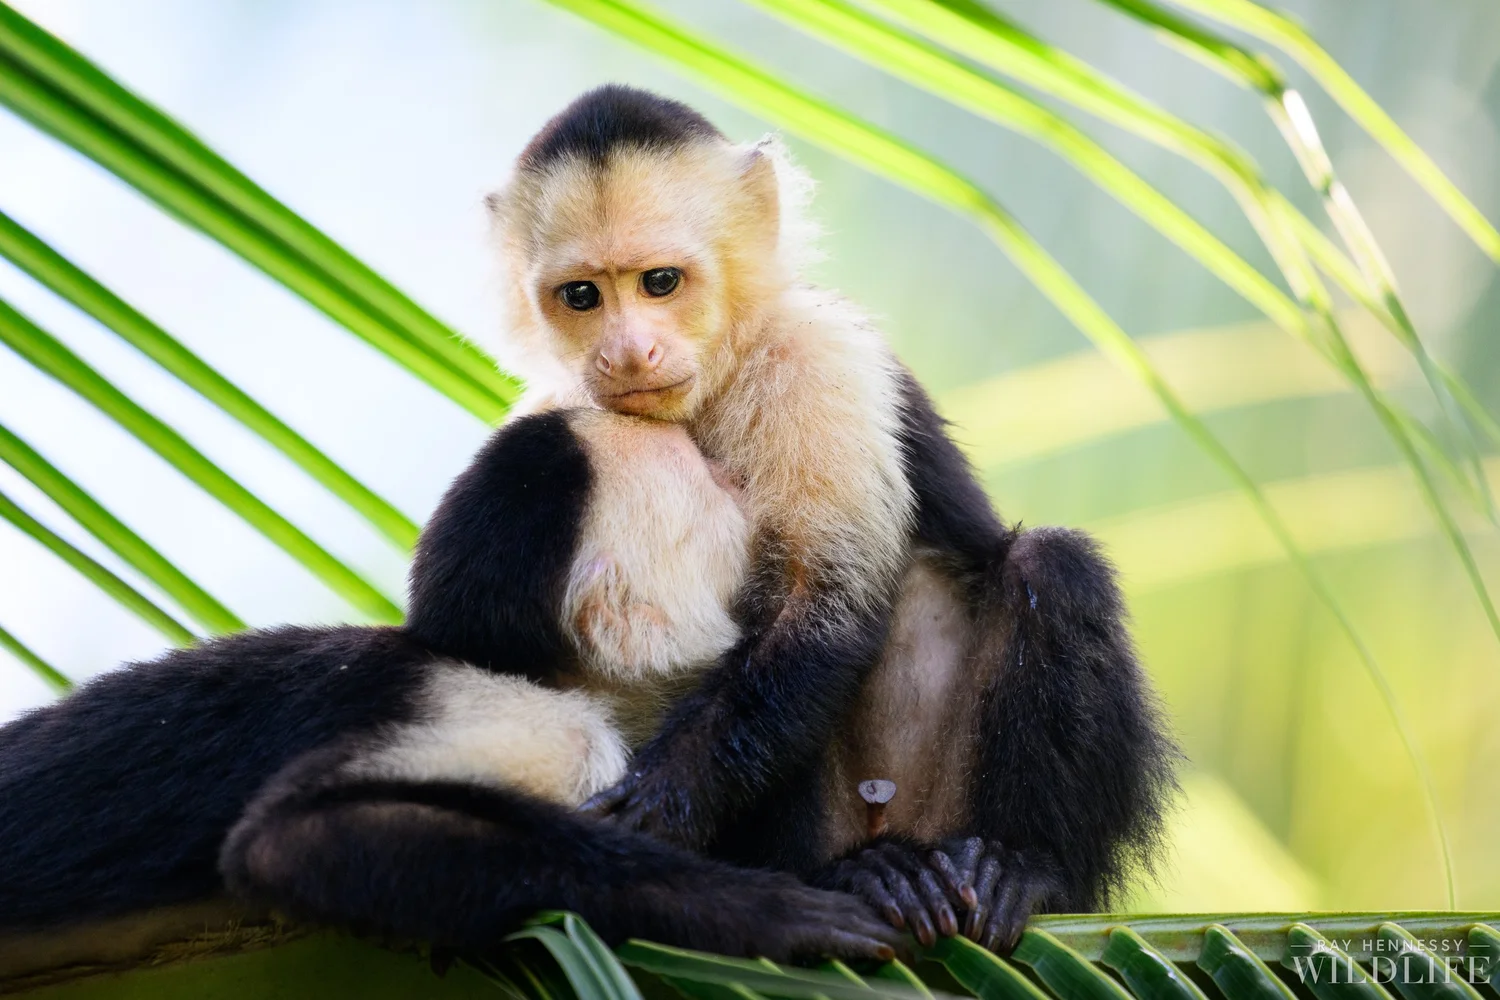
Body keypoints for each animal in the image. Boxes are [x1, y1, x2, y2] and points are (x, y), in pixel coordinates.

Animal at [0, 408, 902, 964]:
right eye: (711, 480)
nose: (740, 471)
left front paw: (882, 877)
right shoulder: (538, 726)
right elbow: (291, 840)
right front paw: (763, 912)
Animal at [483, 84, 1178, 953]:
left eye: (660, 283)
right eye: (582, 296)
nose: (628, 352)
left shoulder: (813, 357)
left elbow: (823, 611)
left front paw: (658, 805)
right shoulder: (553, 407)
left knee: (1047, 570)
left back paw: (1022, 866)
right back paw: (850, 876)